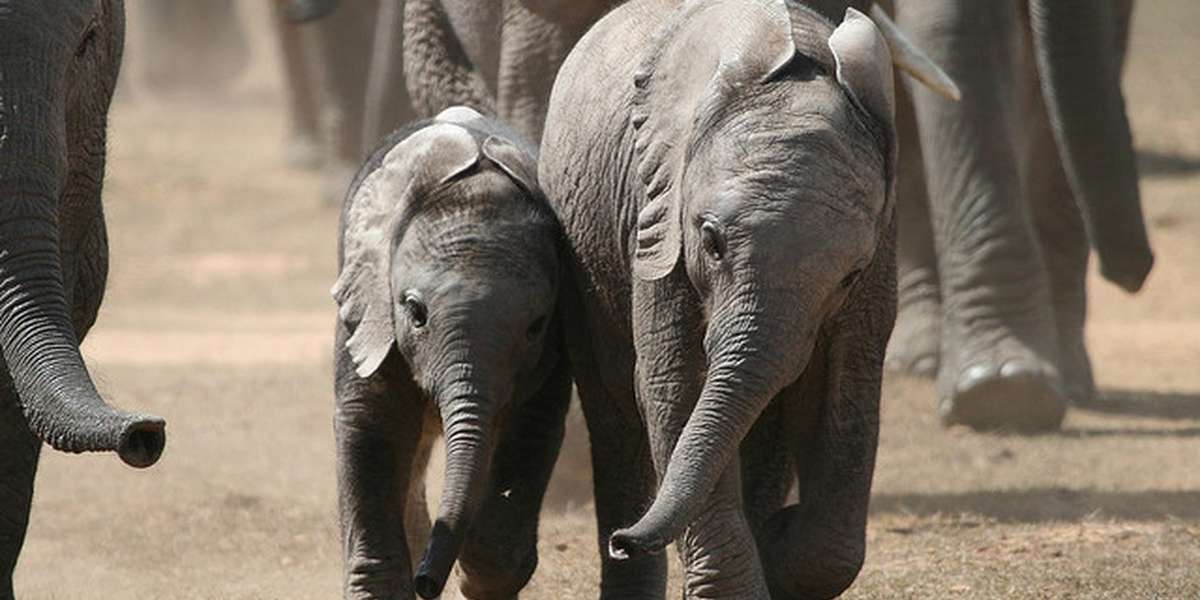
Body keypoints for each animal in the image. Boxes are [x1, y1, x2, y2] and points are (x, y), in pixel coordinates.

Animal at [332, 106, 569, 599]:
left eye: (535, 326)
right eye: (415, 312)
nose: (427, 582)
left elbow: (533, 428)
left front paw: (476, 575)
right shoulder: (369, 310)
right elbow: (368, 422)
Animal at [540, 1, 953, 597]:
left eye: (849, 276)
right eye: (711, 242)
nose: (624, 539)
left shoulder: (881, 245)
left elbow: (843, 388)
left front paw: (779, 546)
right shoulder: (657, 212)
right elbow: (674, 384)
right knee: (614, 405)